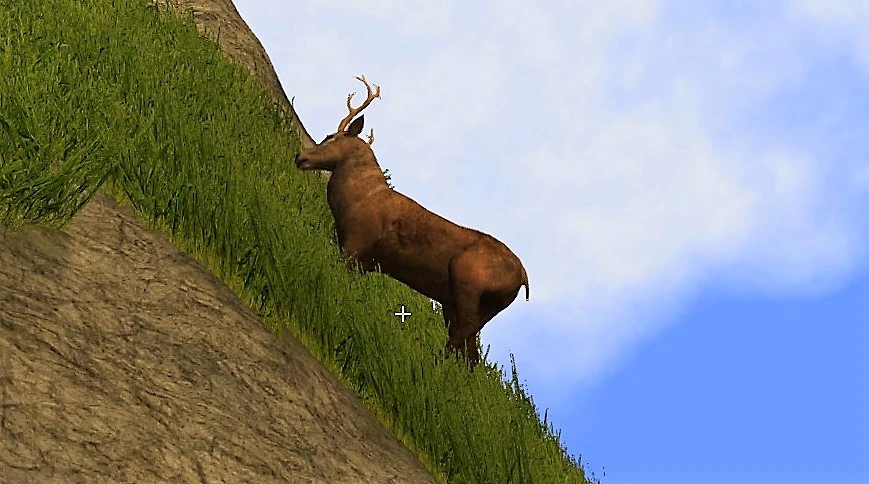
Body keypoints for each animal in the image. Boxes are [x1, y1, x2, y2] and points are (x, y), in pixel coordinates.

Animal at [294, 75, 529, 370]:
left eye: (330, 137)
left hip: (468, 285)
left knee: (462, 339)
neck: (356, 199)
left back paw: (435, 365)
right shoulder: (364, 261)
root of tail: (523, 277)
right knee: (469, 350)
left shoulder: (355, 245)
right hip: (471, 303)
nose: (301, 157)